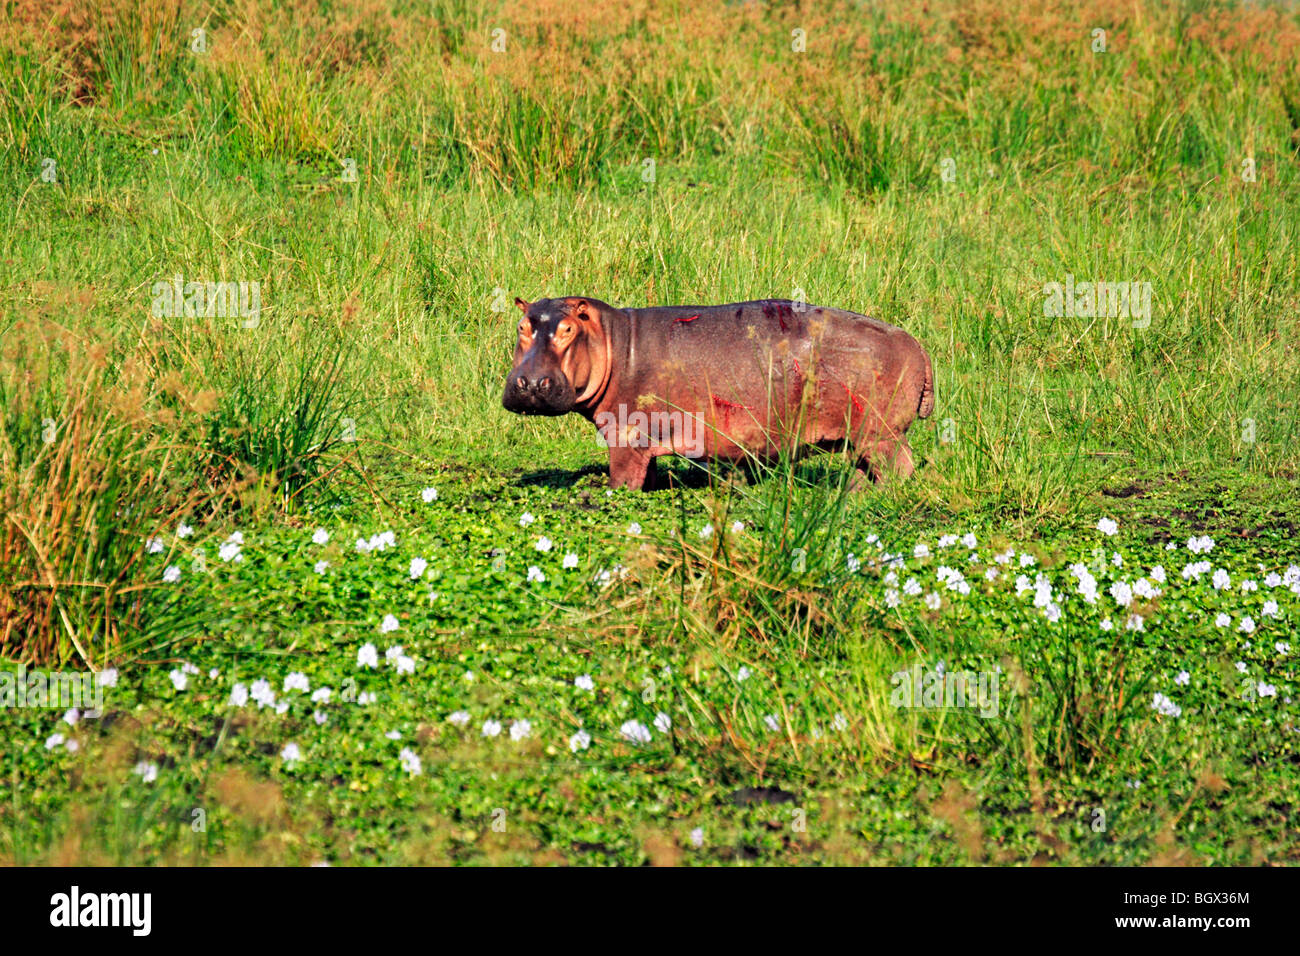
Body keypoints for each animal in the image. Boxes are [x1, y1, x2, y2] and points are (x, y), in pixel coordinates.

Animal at [502, 296, 935, 490]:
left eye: (567, 329)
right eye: (522, 327)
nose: (529, 384)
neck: (613, 341)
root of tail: (918, 345)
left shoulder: (624, 435)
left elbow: (623, 480)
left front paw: (614, 494)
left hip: (881, 432)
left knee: (900, 466)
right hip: (860, 436)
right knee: (865, 469)